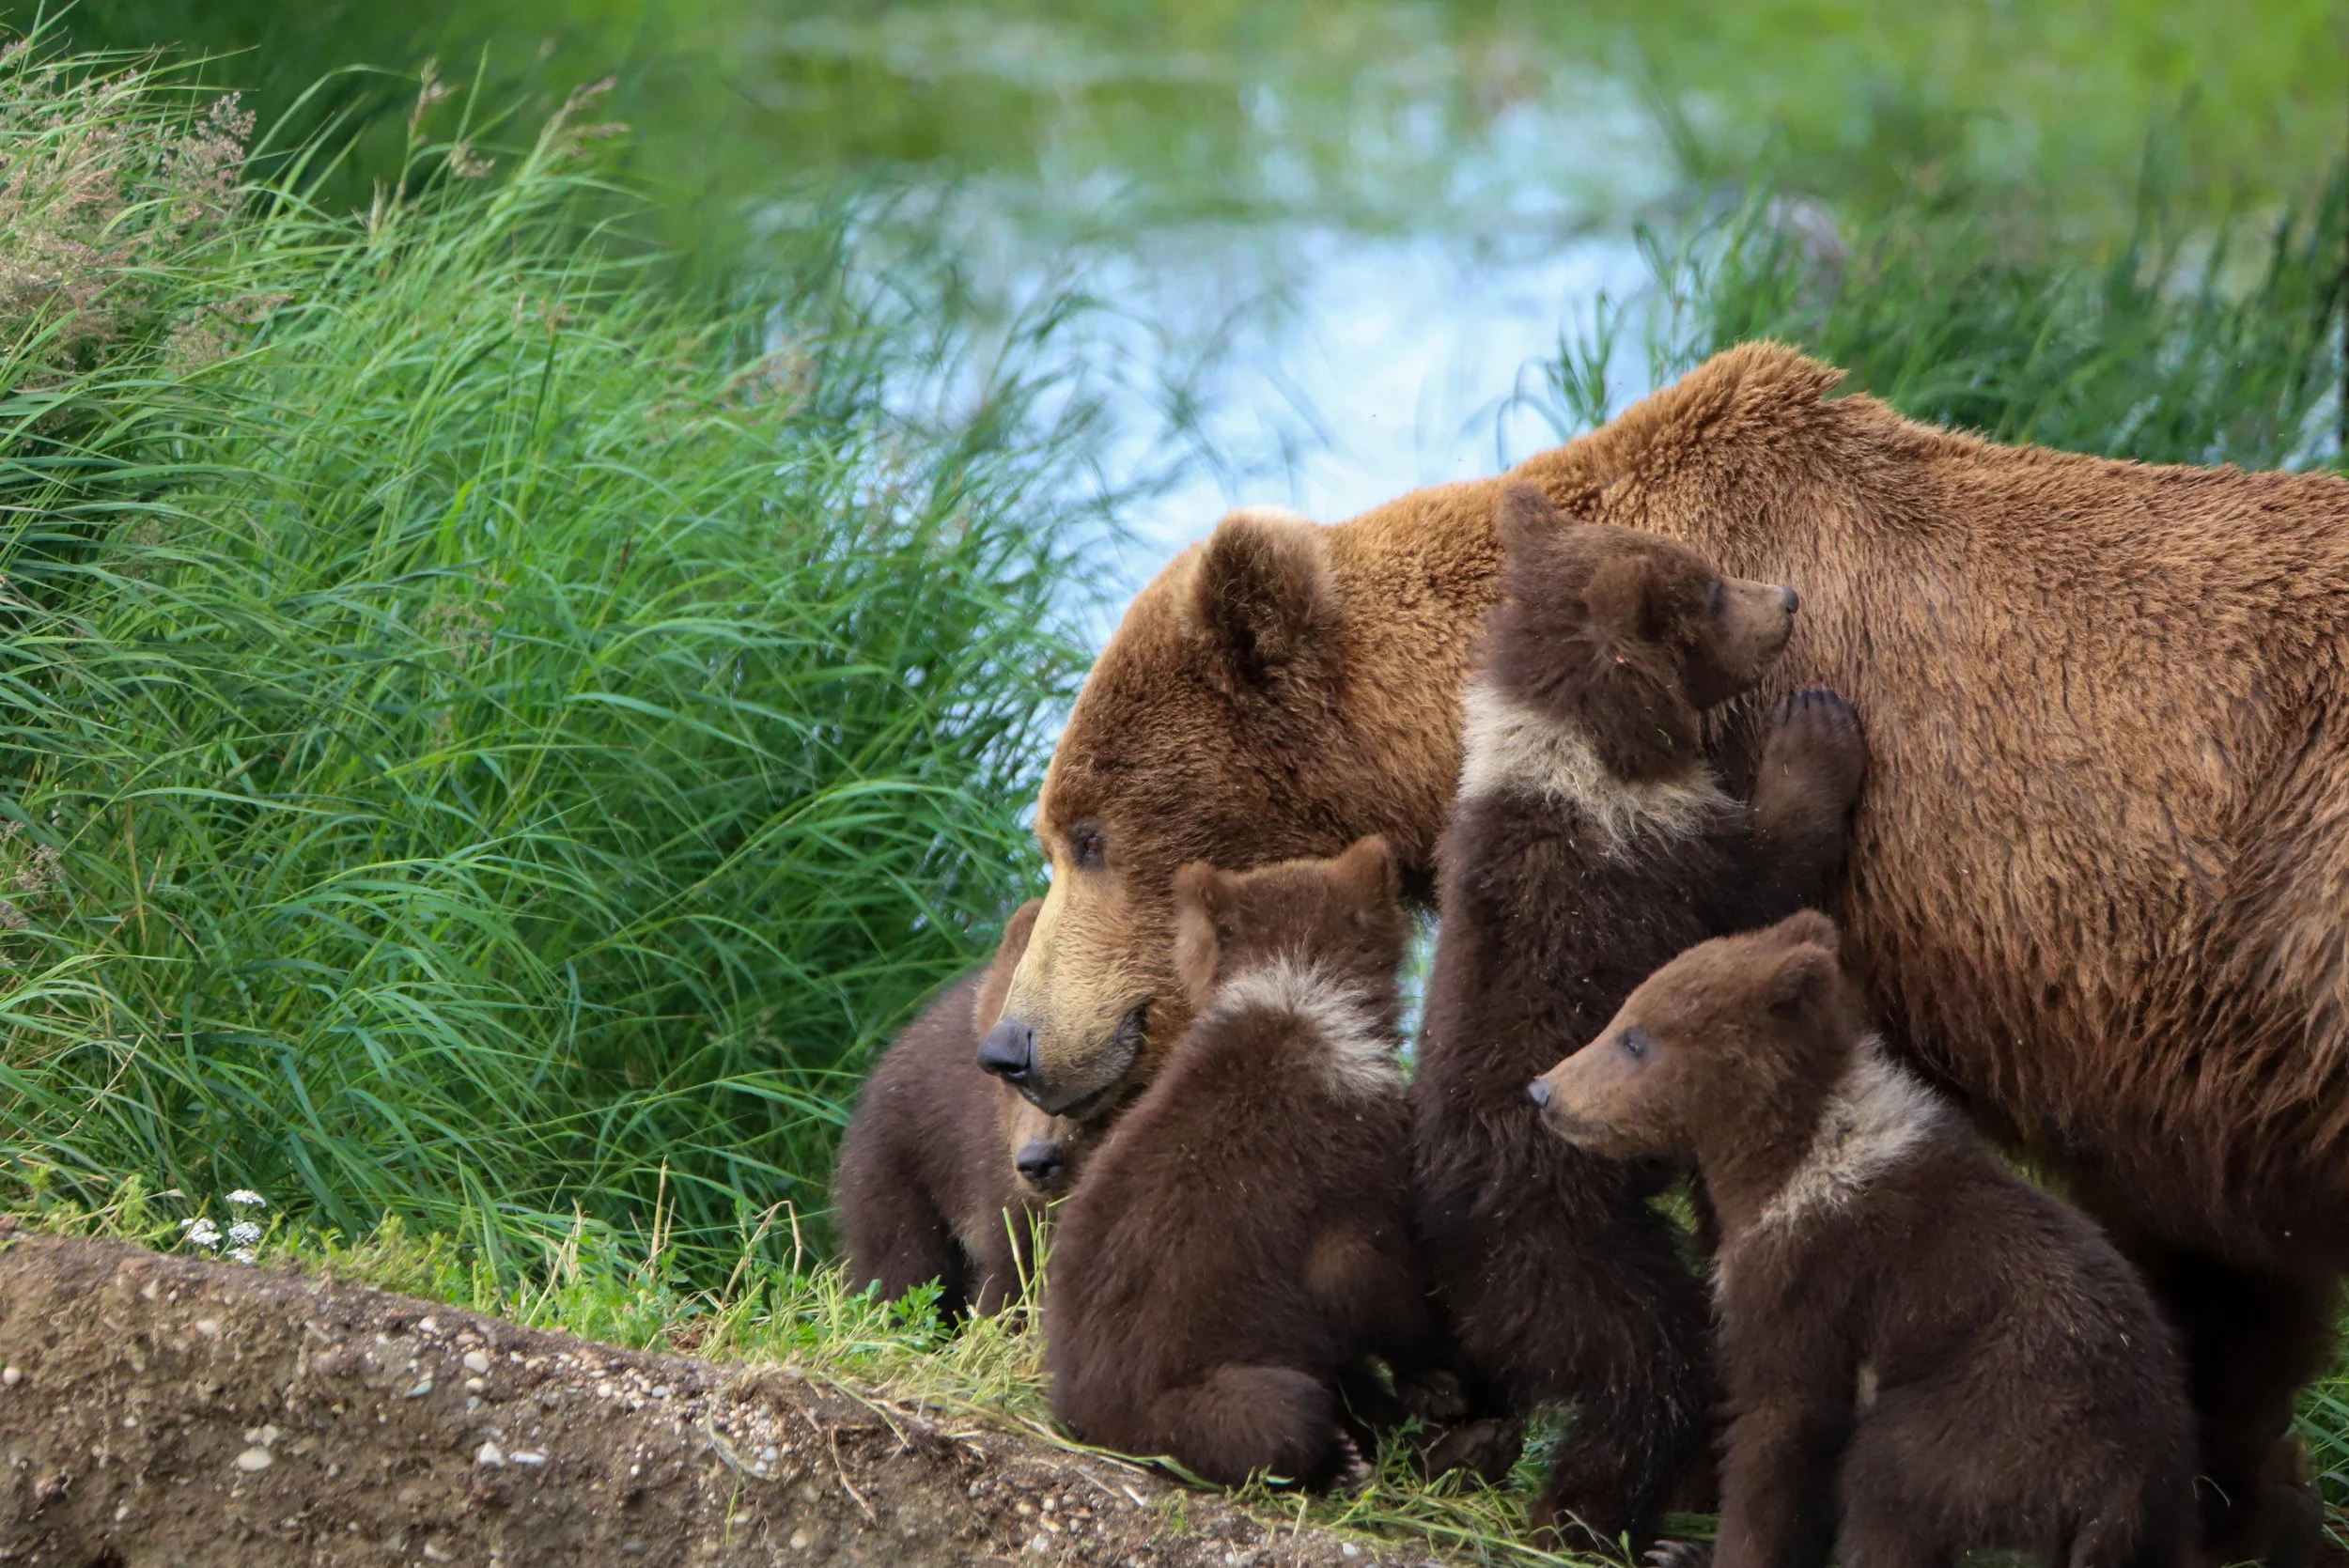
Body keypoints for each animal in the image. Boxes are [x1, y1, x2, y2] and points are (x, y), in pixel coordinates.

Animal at [835, 899, 1091, 1318]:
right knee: (900, 1262)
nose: (1038, 1161)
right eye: (1010, 1075)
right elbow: (1009, 1278)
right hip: (902, 1165)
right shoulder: (1004, 1192)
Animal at [1042, 836, 1447, 1490]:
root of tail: (1093, 1429)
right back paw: (1340, 1457)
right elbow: (1363, 1276)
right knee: (1277, 1412)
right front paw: (1436, 1374)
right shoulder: (1346, 1168)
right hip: (1193, 1397)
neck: (1299, 991)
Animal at [1410, 485, 1867, 1548]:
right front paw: (1815, 727)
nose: (1785, 596)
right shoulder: (1649, 876)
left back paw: (1469, 1442)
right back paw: (1591, 1515)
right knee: (1647, 1364)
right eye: (1711, 587)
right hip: (1570, 1239)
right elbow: (1760, 882)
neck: (1593, 762)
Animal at [1530, 910, 2198, 1568]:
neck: (1785, 1164)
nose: (1545, 1090)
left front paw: (1722, 1545)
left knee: (1892, 1478)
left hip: (2003, 1412)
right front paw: (1683, 1546)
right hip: (2151, 1484)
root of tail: (2116, 1488)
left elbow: (1780, 1421)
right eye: (1624, 1014)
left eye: (1635, 1038)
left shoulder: (1813, 1274)